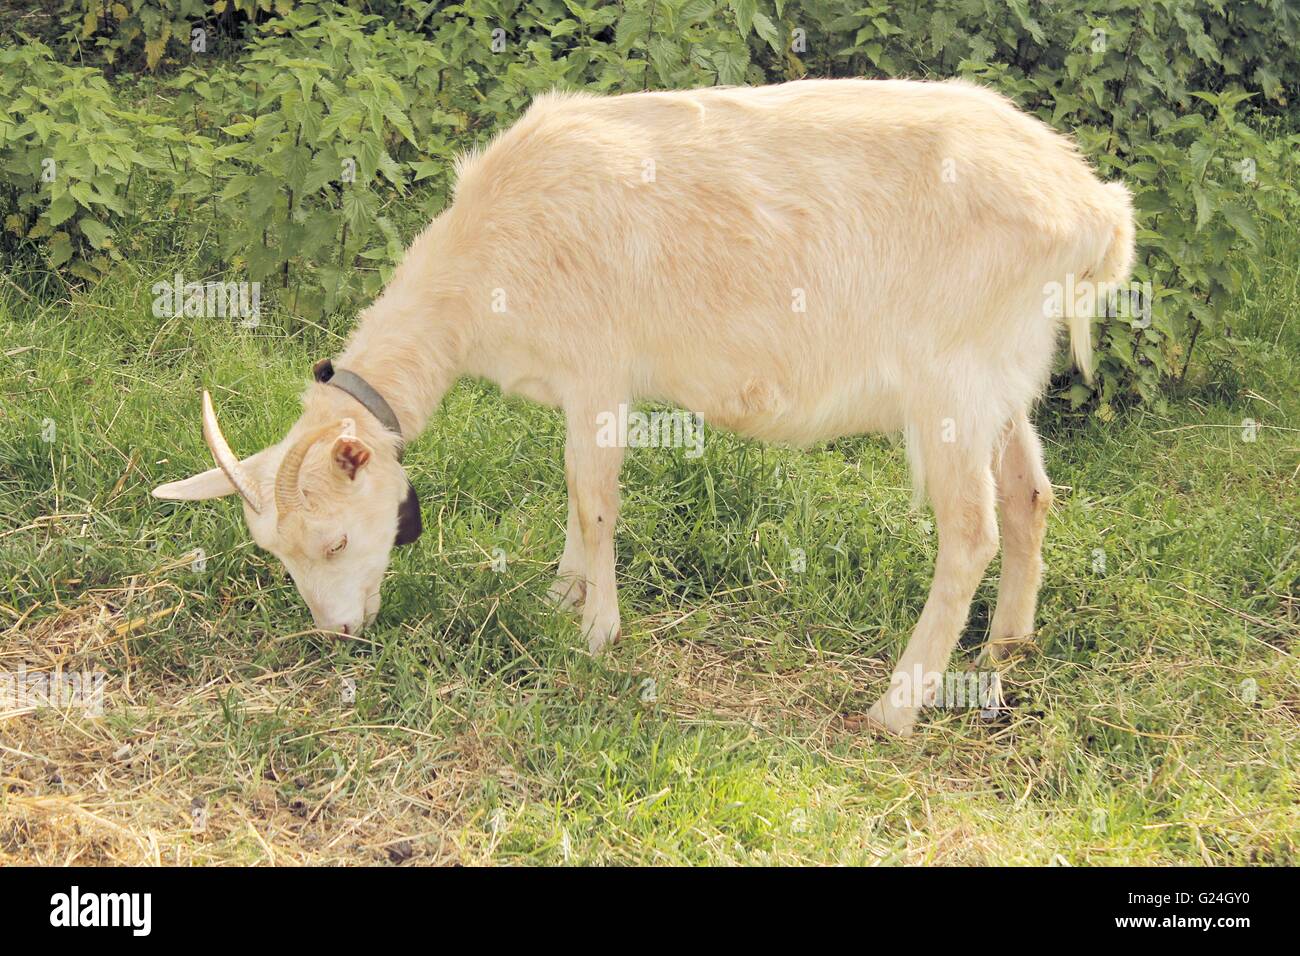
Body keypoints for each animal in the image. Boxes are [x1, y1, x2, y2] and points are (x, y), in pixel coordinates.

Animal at [153, 78, 1135, 735]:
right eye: (276, 555)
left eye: (332, 541)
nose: (340, 636)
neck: (484, 263)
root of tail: (1095, 208)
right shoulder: (577, 385)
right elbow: (572, 494)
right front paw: (561, 591)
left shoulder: (598, 369)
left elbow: (594, 496)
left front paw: (596, 633)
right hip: (1005, 374)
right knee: (1031, 496)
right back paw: (1004, 654)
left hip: (950, 380)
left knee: (970, 532)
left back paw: (897, 706)